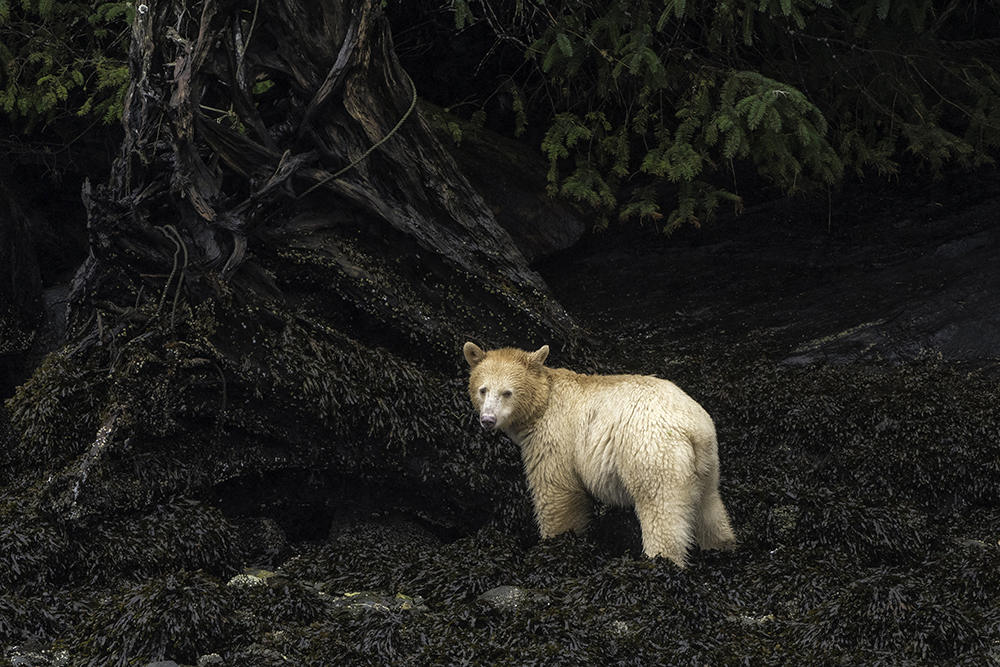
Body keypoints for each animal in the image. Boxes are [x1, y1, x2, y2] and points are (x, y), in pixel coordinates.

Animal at [463, 341, 735, 568]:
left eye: (507, 392)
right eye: (483, 390)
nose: (488, 420)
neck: (543, 402)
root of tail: (691, 429)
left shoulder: (555, 438)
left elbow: (556, 492)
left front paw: (554, 542)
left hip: (653, 452)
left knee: (661, 509)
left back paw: (661, 562)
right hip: (706, 462)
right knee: (708, 506)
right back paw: (721, 545)